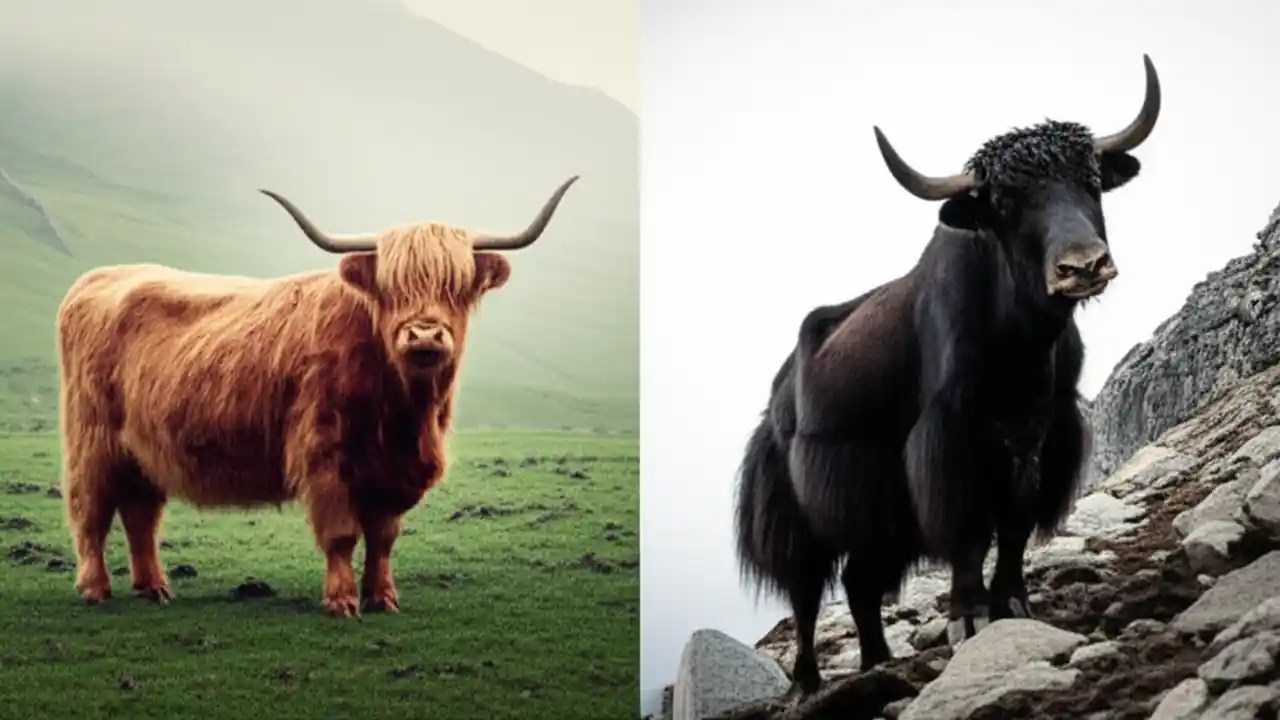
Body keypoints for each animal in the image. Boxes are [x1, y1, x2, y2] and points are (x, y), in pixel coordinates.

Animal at [57, 176, 578, 616]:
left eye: (457, 285)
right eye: (391, 287)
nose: (425, 335)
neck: (403, 411)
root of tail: (95, 279)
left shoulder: (391, 471)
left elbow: (384, 538)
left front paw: (383, 598)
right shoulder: (327, 455)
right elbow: (343, 535)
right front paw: (342, 601)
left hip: (141, 452)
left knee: (140, 515)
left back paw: (154, 588)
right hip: (93, 440)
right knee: (91, 512)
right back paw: (95, 589)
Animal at [735, 56, 1161, 695]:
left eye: (1090, 178)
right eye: (1005, 201)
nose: (1083, 266)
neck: (1019, 345)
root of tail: (775, 403)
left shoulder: (1038, 439)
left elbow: (1014, 527)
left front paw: (1015, 604)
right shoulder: (949, 441)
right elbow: (967, 530)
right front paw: (969, 617)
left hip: (879, 526)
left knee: (860, 583)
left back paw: (878, 660)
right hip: (799, 518)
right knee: (807, 592)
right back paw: (807, 681)